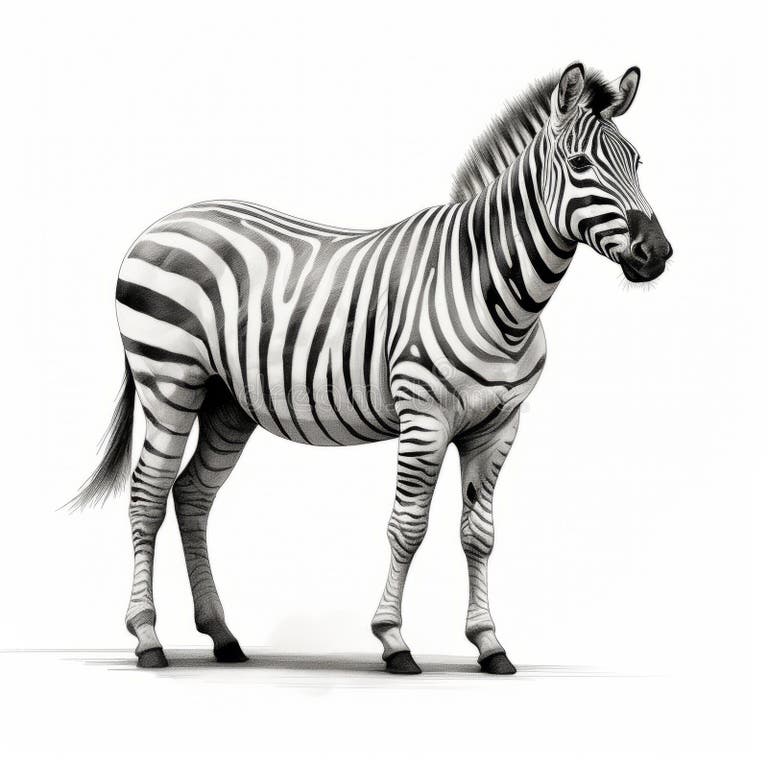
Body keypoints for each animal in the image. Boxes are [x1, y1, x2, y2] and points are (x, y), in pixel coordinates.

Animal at [72, 62, 672, 674]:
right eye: (579, 165)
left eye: (638, 162)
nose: (658, 254)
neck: (495, 291)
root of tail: (164, 221)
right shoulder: (424, 415)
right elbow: (408, 527)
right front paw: (393, 639)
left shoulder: (499, 424)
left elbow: (479, 534)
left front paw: (490, 644)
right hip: (169, 380)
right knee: (147, 494)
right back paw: (148, 638)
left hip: (226, 401)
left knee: (192, 495)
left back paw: (222, 635)